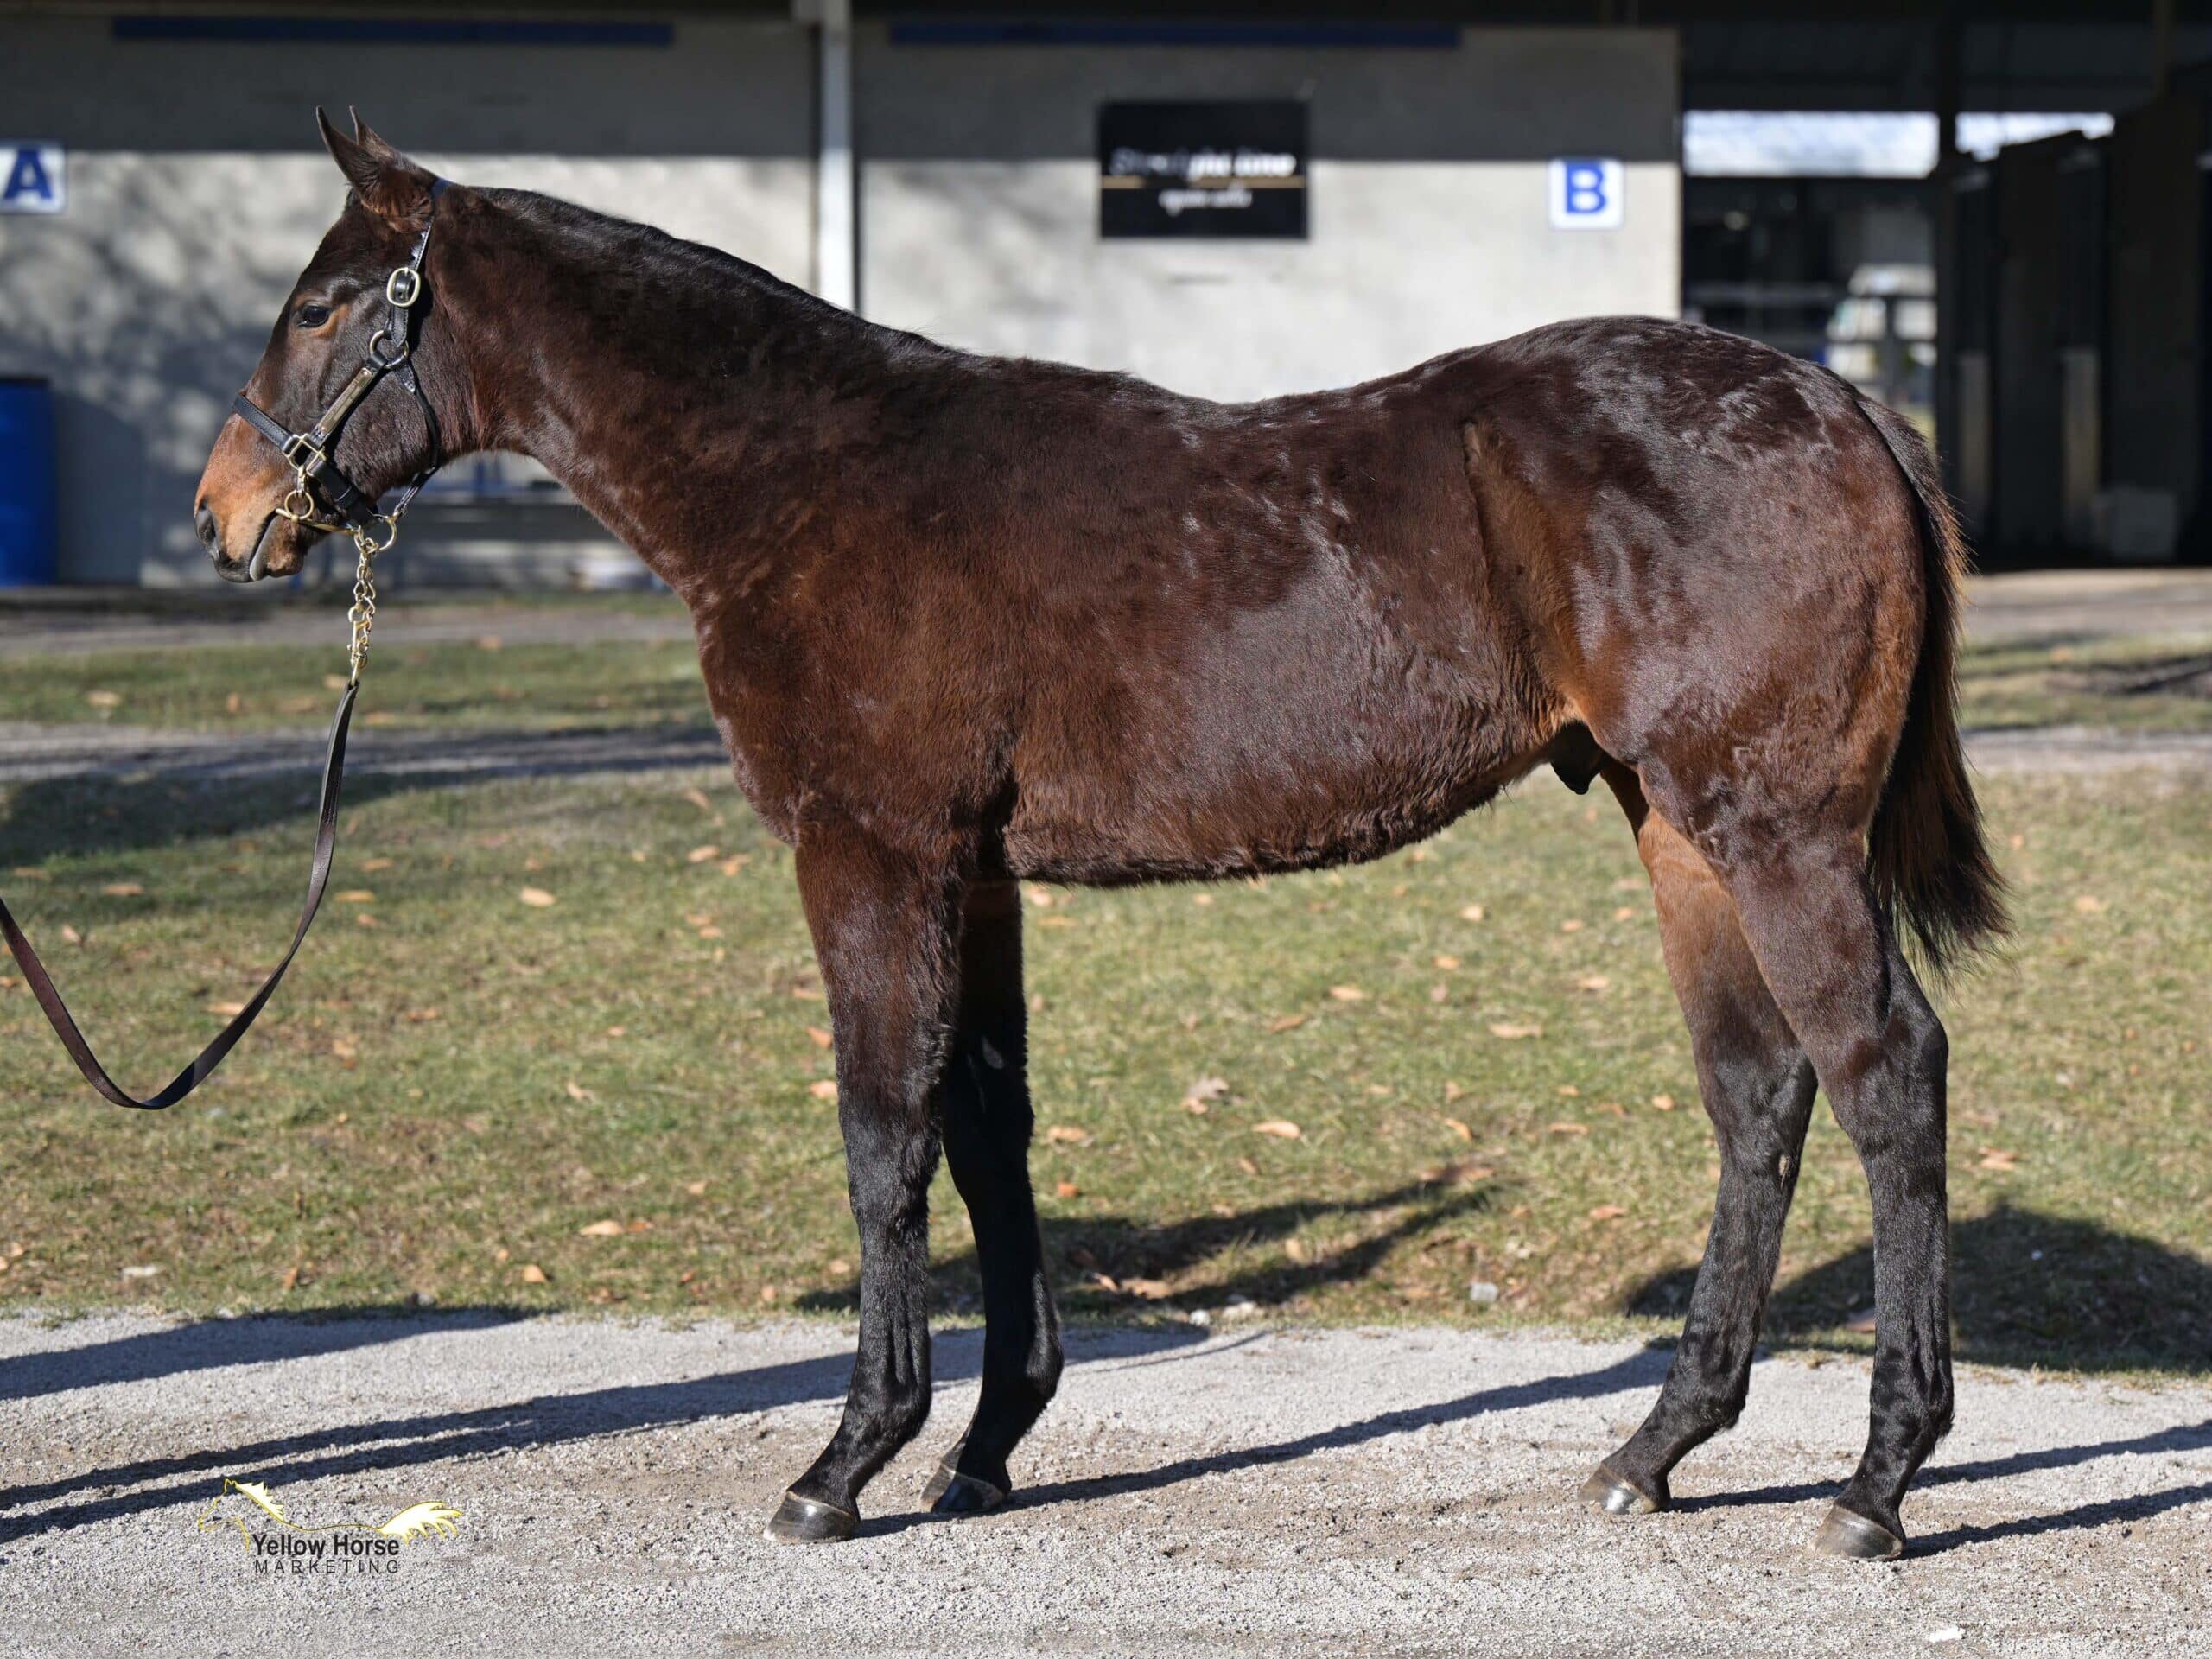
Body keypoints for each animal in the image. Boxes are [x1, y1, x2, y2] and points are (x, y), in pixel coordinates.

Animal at [193, 113, 2006, 1560]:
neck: (805, 481)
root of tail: (1839, 399)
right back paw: (1656, 1449)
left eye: (323, 303)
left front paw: (846, 1462)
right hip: (1680, 831)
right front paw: (989, 1446)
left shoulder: (873, 857)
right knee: (1759, 1095)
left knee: (1885, 1072)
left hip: (1776, 834)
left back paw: (1877, 1484)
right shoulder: (975, 874)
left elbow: (885, 1137)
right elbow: (988, 1130)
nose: (228, 511)